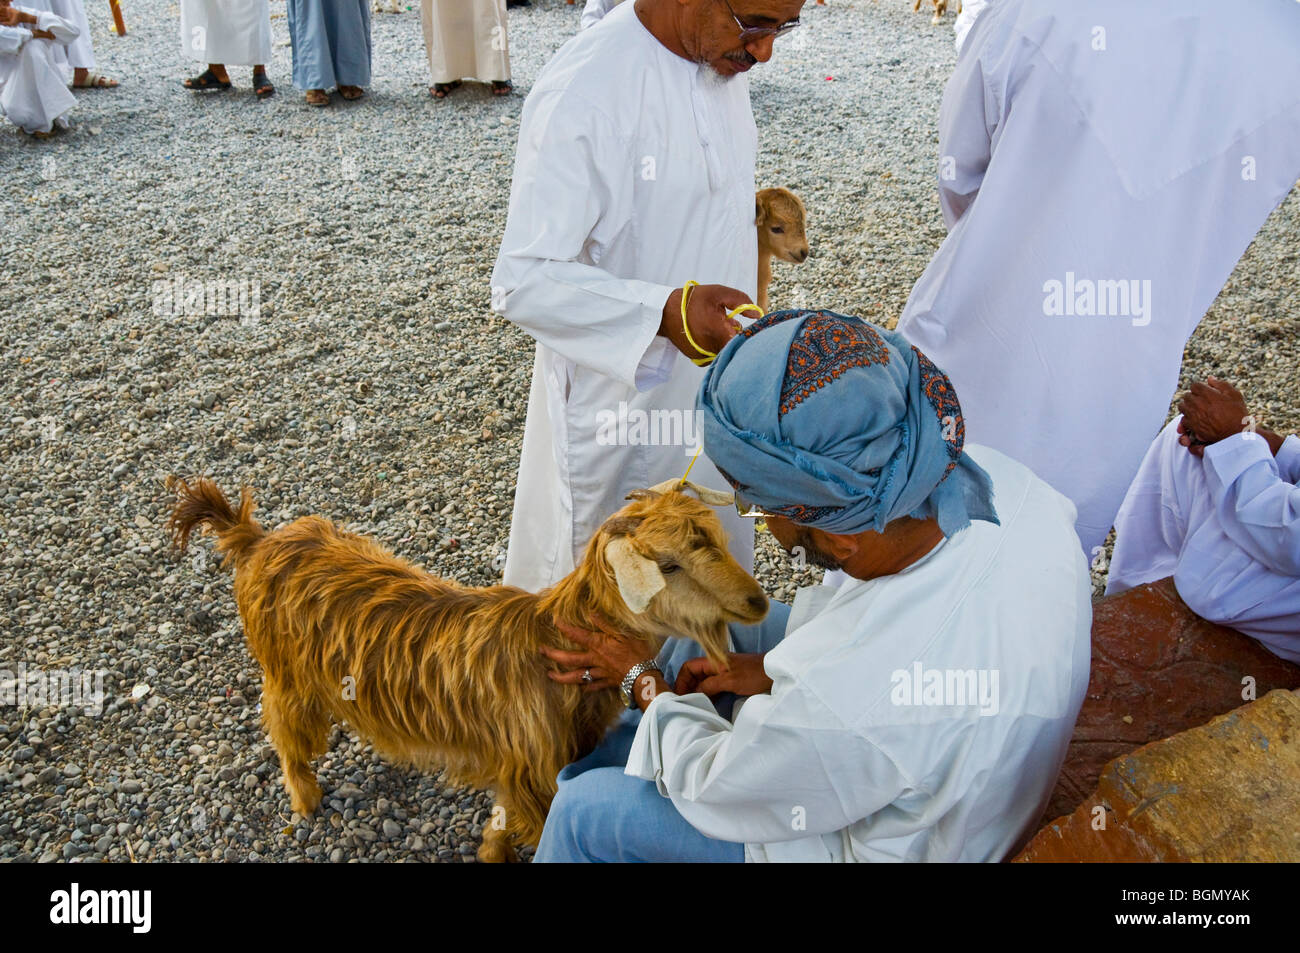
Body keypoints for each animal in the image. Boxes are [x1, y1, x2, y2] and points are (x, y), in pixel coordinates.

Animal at [165, 475, 768, 862]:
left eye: (717, 537)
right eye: (668, 564)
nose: (757, 603)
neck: (549, 638)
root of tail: (256, 540)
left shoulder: (521, 764)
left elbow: (503, 819)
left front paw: (489, 851)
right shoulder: (535, 768)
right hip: (287, 675)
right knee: (283, 726)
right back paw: (305, 798)